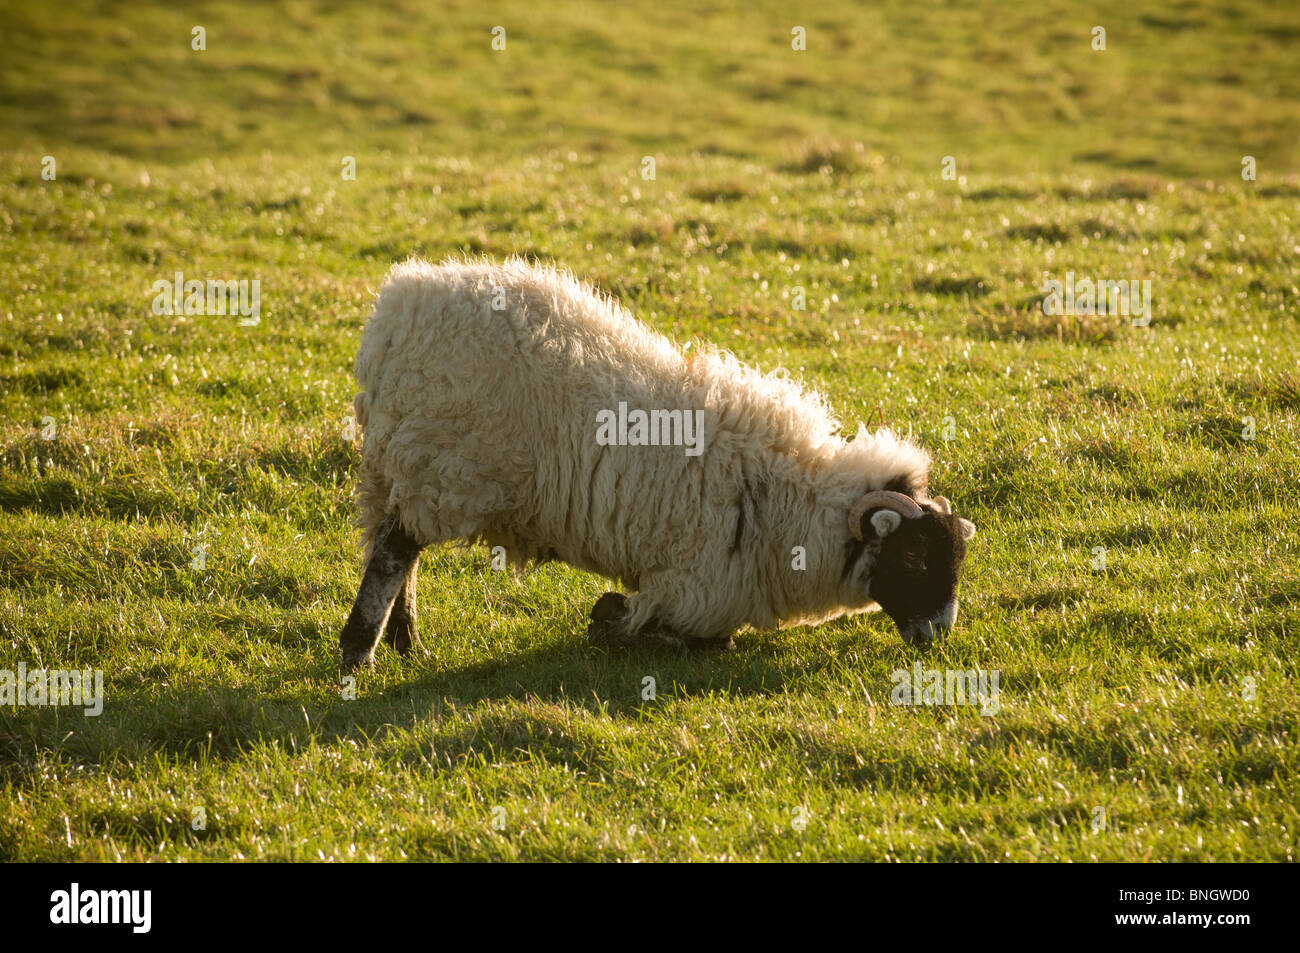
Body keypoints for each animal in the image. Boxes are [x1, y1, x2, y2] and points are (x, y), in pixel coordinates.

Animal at [339, 257, 976, 671]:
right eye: (914, 556)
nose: (939, 632)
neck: (786, 504)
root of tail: (397, 310)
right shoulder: (693, 588)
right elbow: (693, 639)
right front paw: (610, 619)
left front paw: (609, 617)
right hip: (447, 465)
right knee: (393, 553)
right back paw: (361, 652)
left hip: (405, 466)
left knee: (397, 549)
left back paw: (406, 643)